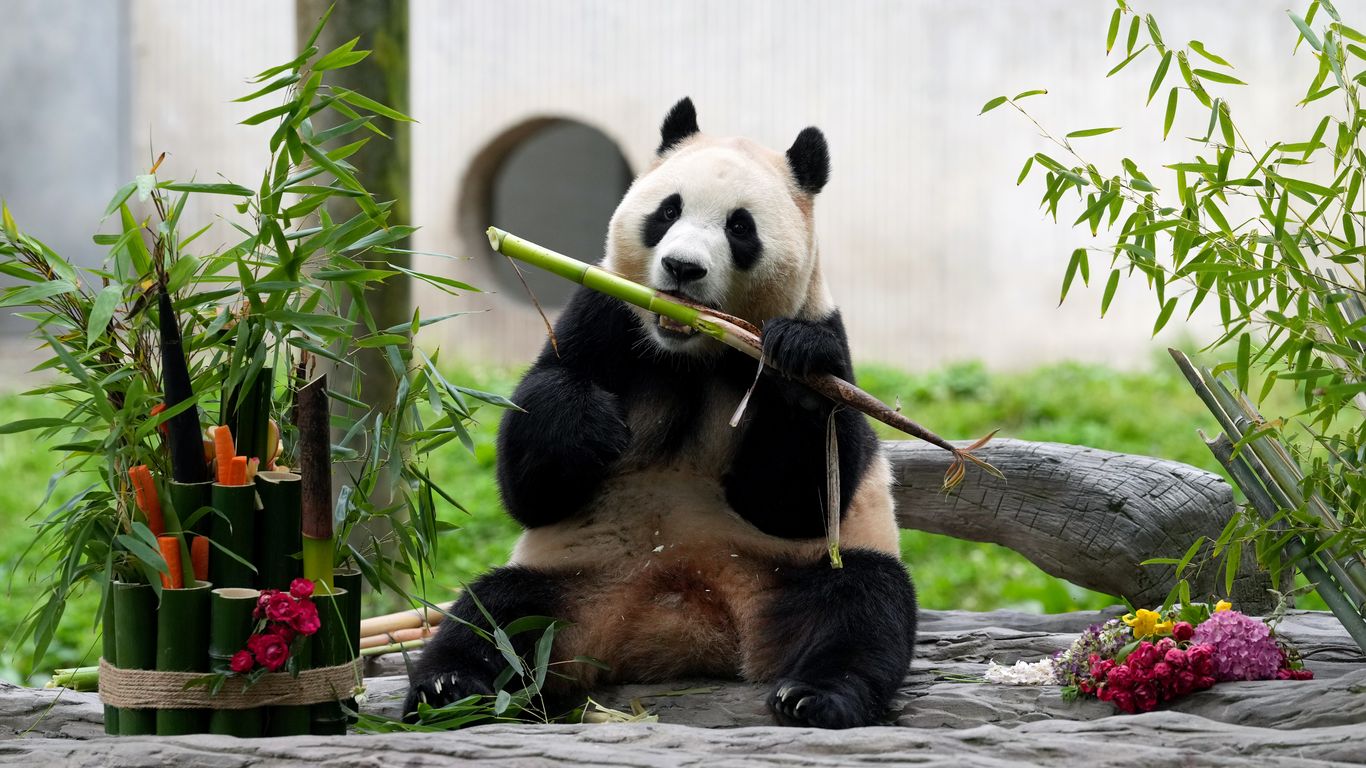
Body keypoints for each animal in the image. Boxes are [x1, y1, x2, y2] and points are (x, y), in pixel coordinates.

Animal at [405, 98, 918, 729]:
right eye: (667, 211)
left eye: (740, 227)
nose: (682, 268)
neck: (687, 351)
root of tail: (674, 624)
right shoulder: (602, 317)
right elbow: (530, 484)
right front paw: (587, 422)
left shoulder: (821, 334)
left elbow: (798, 500)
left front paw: (795, 363)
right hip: (569, 582)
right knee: (493, 614)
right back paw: (450, 689)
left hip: (791, 574)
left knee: (862, 606)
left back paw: (813, 696)